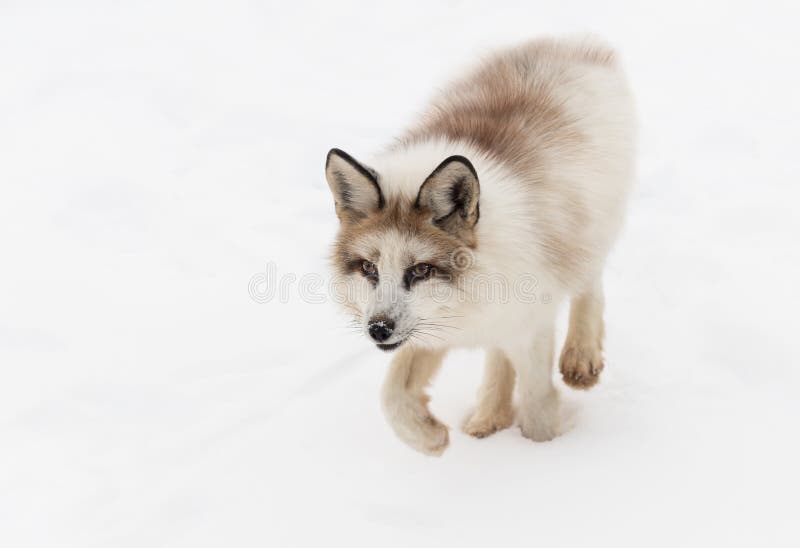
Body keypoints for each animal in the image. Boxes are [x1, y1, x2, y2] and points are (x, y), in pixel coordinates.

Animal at [325, 37, 635, 455]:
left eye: (420, 269)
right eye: (368, 268)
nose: (378, 329)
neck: (471, 294)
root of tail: (573, 44)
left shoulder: (529, 328)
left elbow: (538, 407)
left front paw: (544, 455)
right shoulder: (436, 330)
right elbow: (391, 396)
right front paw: (431, 439)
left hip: (592, 230)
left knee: (590, 285)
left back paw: (580, 356)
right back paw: (489, 416)